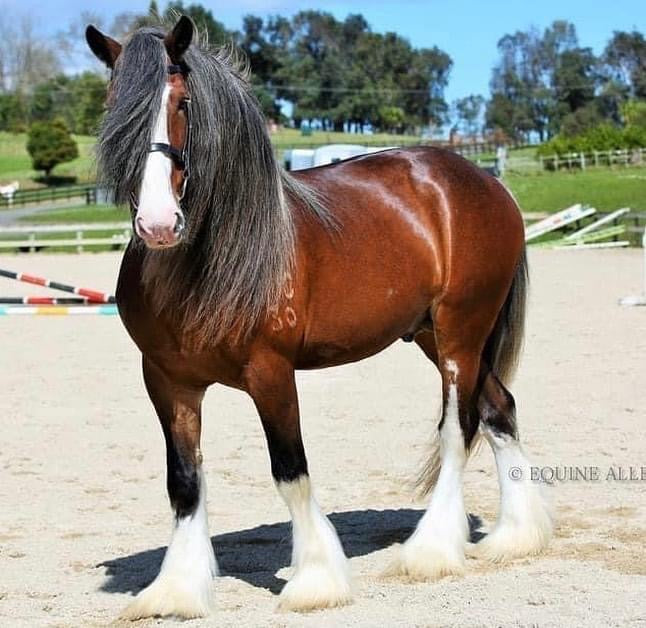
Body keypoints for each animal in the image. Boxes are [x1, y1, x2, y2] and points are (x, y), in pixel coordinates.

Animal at [86, 16, 552, 620]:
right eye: (114, 104)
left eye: (183, 103)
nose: (159, 222)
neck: (204, 263)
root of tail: (486, 182)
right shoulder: (168, 382)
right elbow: (184, 481)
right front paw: (177, 590)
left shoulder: (271, 373)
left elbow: (291, 472)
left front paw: (315, 581)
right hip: (436, 335)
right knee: (499, 409)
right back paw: (516, 536)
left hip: (460, 335)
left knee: (459, 428)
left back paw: (430, 551)